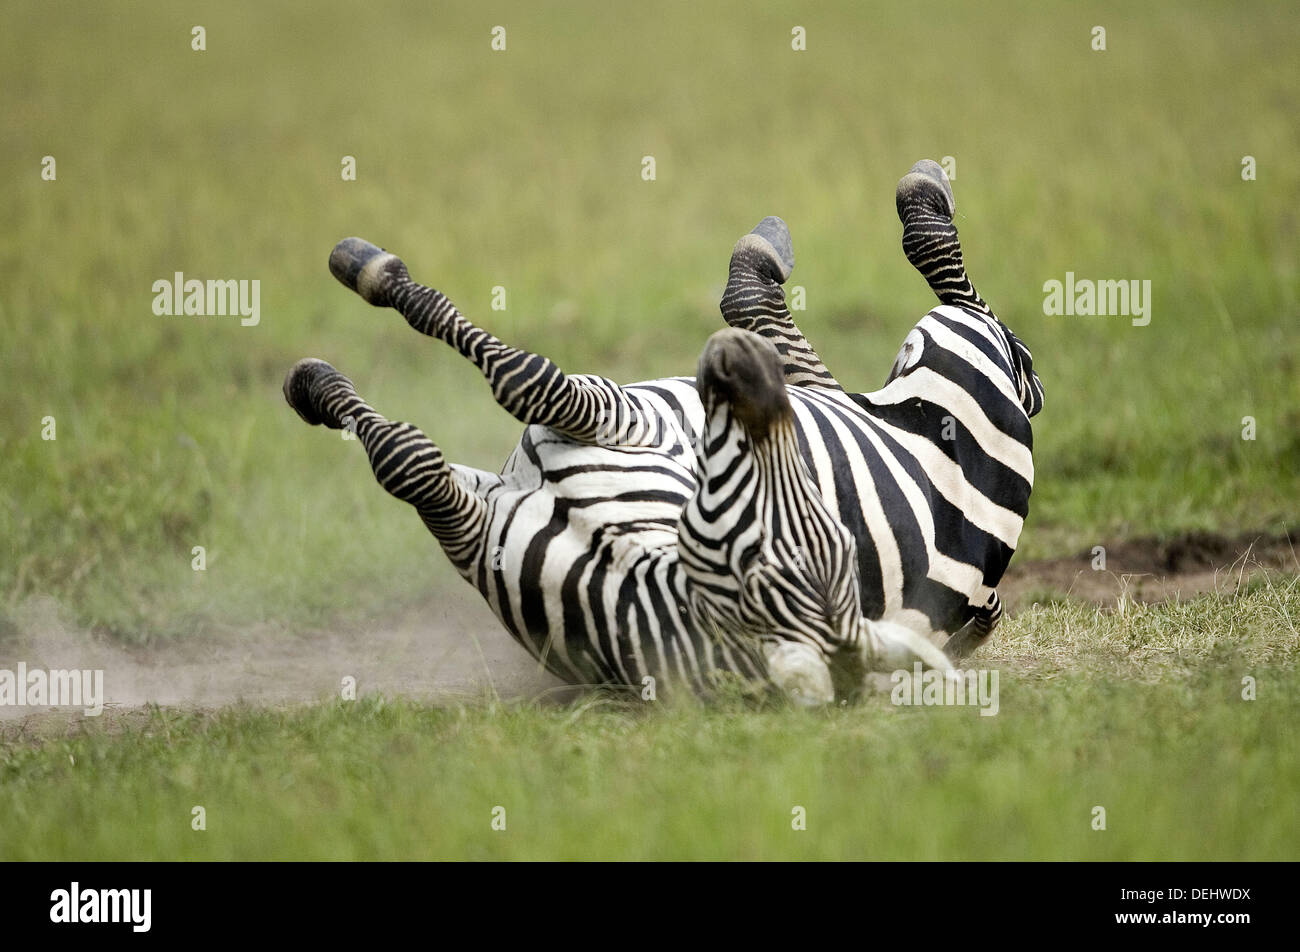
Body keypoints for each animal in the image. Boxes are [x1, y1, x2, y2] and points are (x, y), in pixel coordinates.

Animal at [283, 160, 1042, 704]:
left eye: (823, 541)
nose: (735, 370)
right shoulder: (474, 519)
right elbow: (405, 456)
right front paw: (318, 382)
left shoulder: (618, 423)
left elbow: (520, 381)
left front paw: (353, 310)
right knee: (812, 354)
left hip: (964, 360)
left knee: (978, 316)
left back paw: (920, 195)